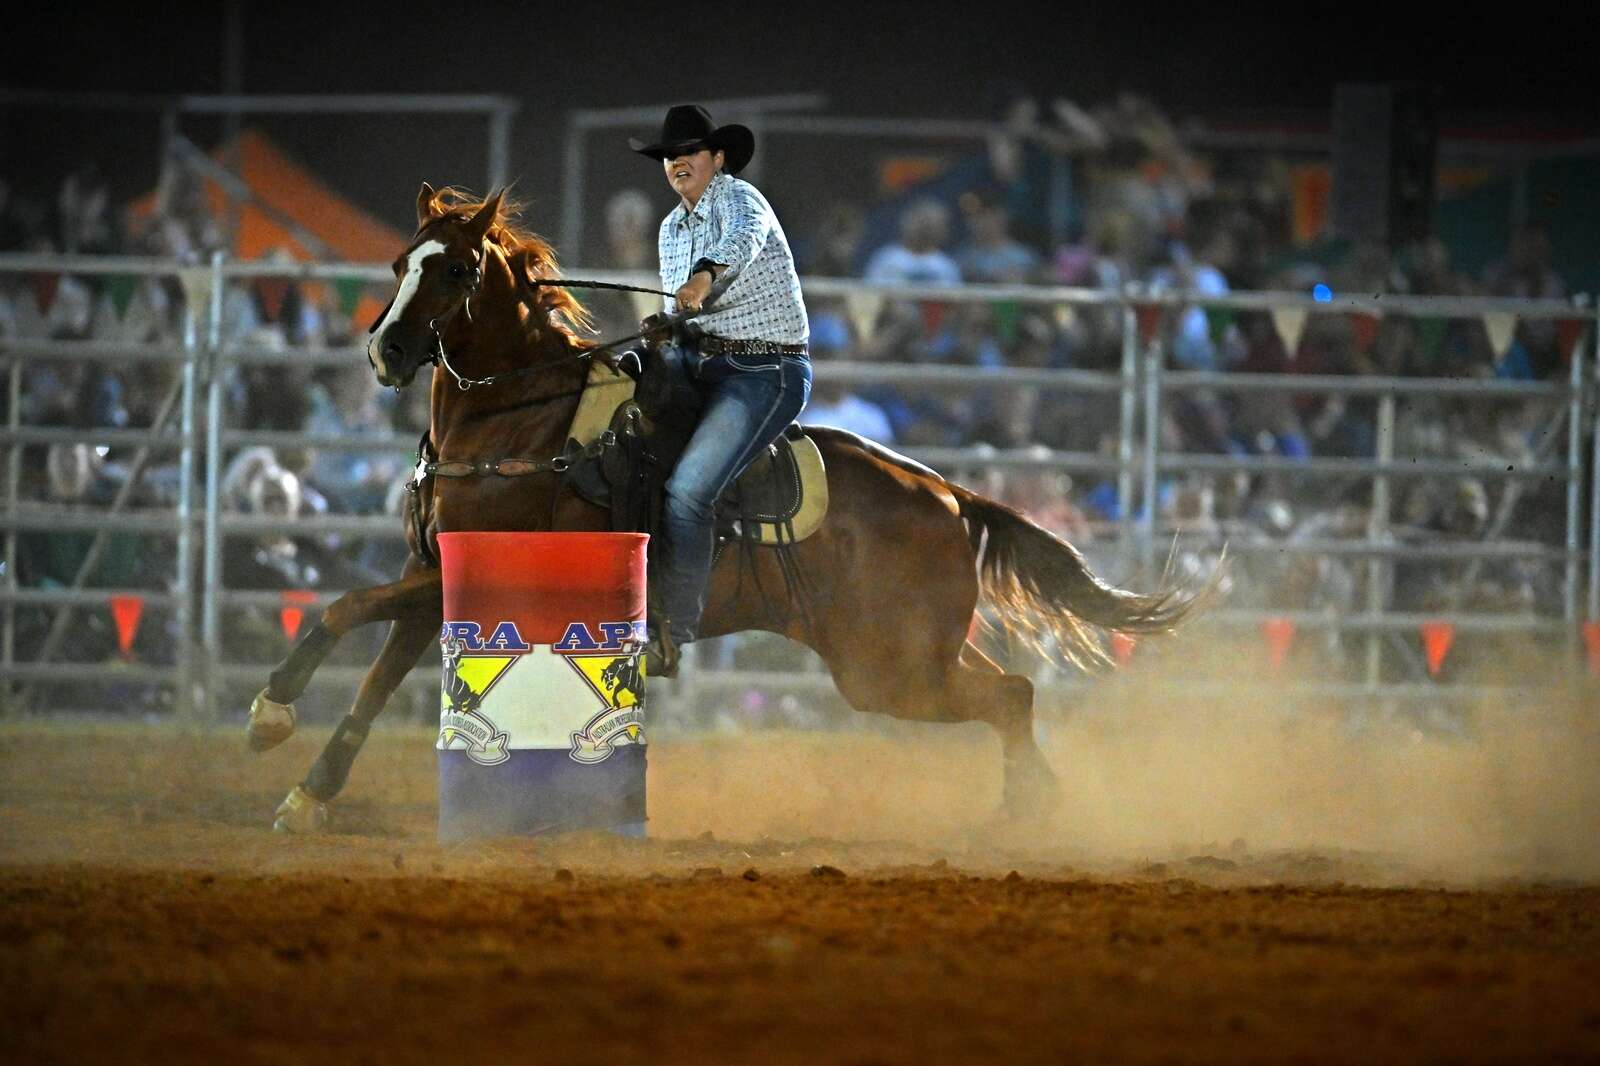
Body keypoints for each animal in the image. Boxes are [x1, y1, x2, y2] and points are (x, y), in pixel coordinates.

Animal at [249, 183, 1207, 833]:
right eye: (397, 263)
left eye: (452, 267)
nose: (384, 350)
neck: (523, 419)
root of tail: (951, 495)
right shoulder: (434, 574)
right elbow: (374, 677)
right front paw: (309, 792)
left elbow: (342, 609)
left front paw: (271, 710)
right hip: (897, 658)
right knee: (1010, 693)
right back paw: (1033, 807)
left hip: (893, 668)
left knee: (1010, 693)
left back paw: (1030, 811)